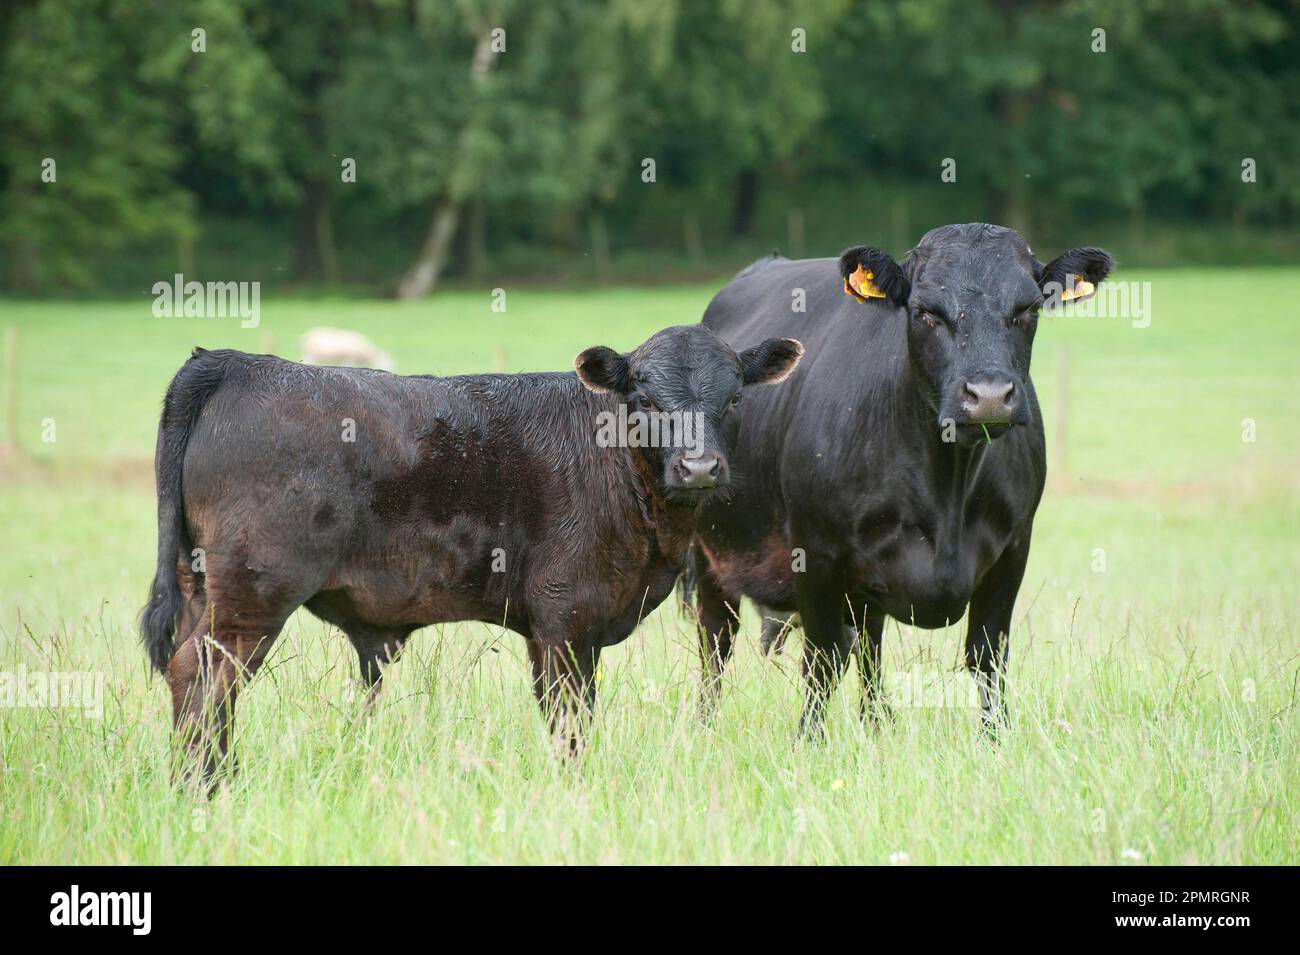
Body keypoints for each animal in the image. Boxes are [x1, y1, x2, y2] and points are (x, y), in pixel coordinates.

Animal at [140, 325, 803, 785]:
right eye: (644, 396)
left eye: (735, 398)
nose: (699, 467)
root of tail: (236, 363)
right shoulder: (566, 616)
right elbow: (571, 720)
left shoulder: (553, 630)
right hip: (252, 595)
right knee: (202, 677)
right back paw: (210, 788)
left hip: (201, 585)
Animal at [689, 223, 1113, 736]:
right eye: (925, 311)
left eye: (1028, 309)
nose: (990, 396)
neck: (946, 489)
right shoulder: (815, 551)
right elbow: (823, 658)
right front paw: (808, 741)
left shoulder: (1014, 548)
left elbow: (987, 655)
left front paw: (996, 739)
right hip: (709, 549)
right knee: (717, 640)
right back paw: (704, 727)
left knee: (868, 643)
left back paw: (876, 724)